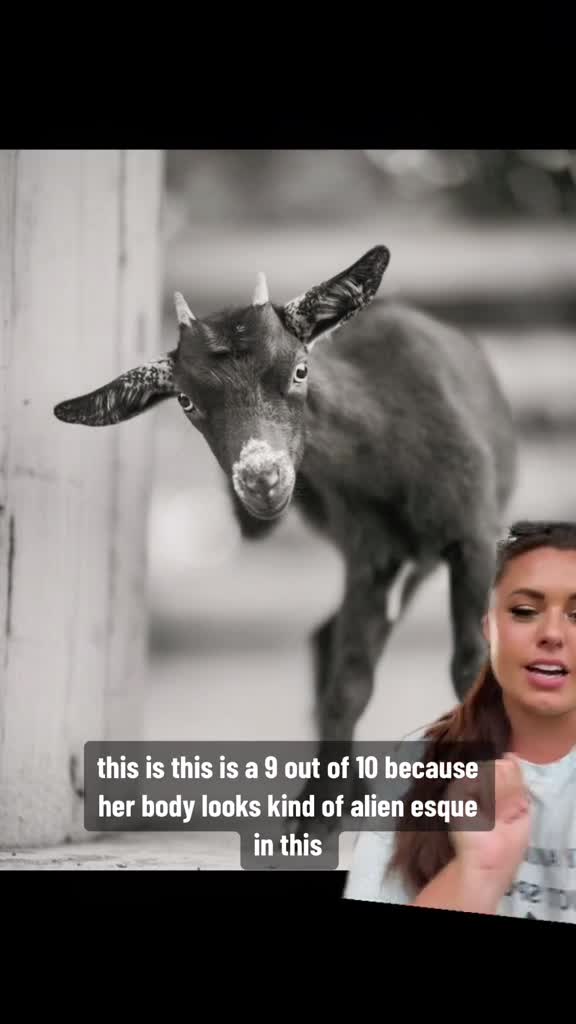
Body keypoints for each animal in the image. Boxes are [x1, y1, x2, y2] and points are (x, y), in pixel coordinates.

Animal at [54, 245, 517, 832]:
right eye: (184, 400)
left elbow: (471, 664)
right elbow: (351, 681)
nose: (261, 479)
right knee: (327, 637)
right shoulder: (370, 553)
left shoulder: (474, 537)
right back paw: (349, 787)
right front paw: (318, 810)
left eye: (299, 370)